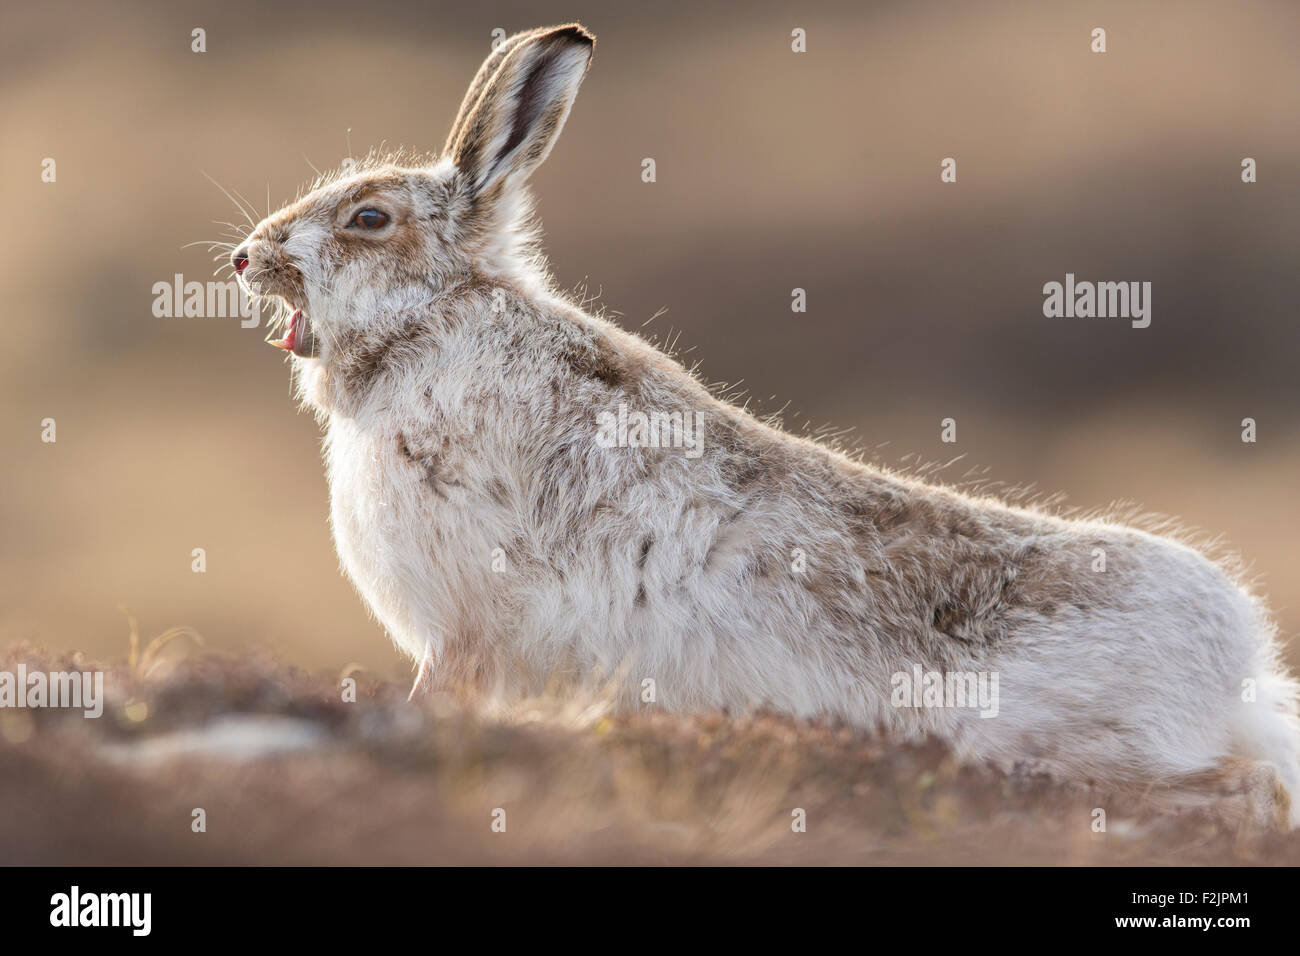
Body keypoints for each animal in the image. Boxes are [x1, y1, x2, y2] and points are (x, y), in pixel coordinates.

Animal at [230, 23, 1300, 827]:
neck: (430, 324)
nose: (246, 257)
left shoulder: (465, 628)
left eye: (369, 219)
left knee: (1240, 792)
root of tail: (1240, 661)